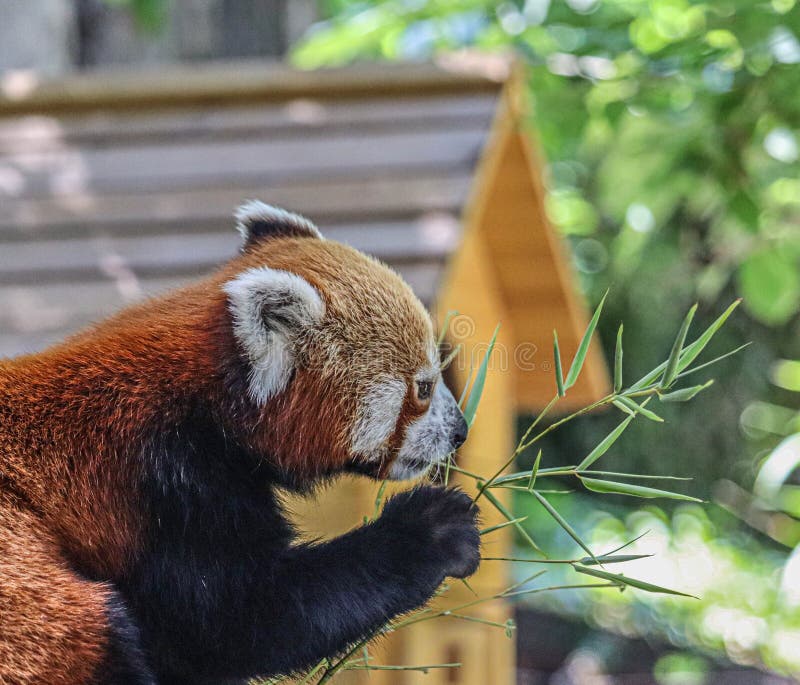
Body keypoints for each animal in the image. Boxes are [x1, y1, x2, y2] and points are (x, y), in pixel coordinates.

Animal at [0, 202, 481, 685]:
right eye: (423, 387)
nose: (460, 430)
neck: (207, 403)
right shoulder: (166, 484)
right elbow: (240, 621)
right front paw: (433, 529)